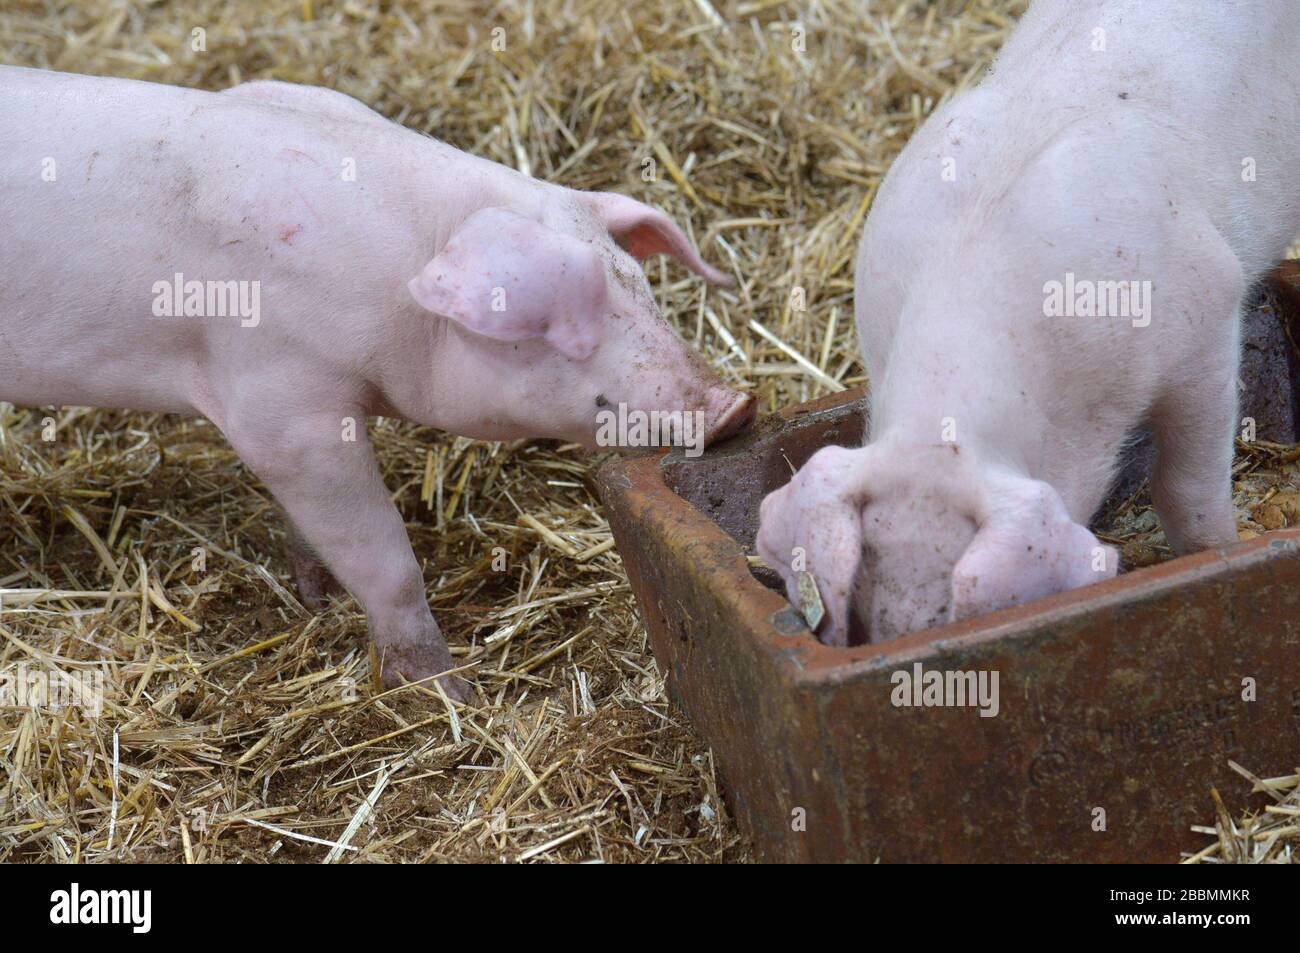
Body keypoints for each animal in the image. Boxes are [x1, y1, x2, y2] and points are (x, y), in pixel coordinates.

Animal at [0, 66, 755, 700]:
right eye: (563, 320)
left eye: (638, 286)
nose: (737, 405)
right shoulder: (280, 406)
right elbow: (389, 562)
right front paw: (450, 693)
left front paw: (319, 599)